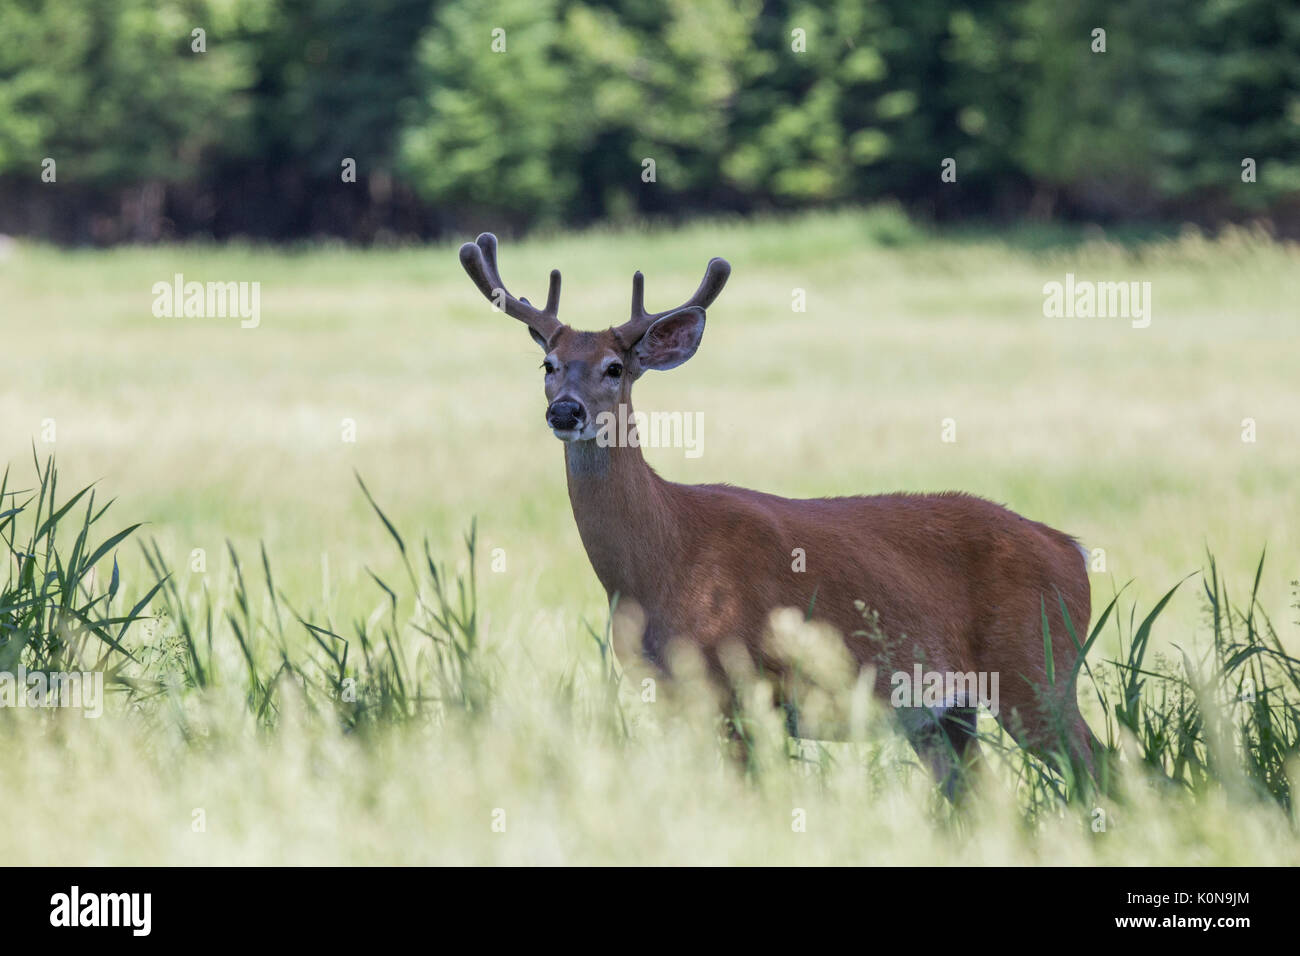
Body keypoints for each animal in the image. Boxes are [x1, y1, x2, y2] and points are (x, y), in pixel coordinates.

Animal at [458, 232, 1099, 798]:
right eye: (548, 364)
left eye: (615, 367)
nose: (566, 412)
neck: (663, 561)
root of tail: (1073, 550)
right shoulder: (670, 696)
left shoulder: (740, 683)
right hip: (945, 713)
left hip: (1036, 668)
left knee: (1102, 766)